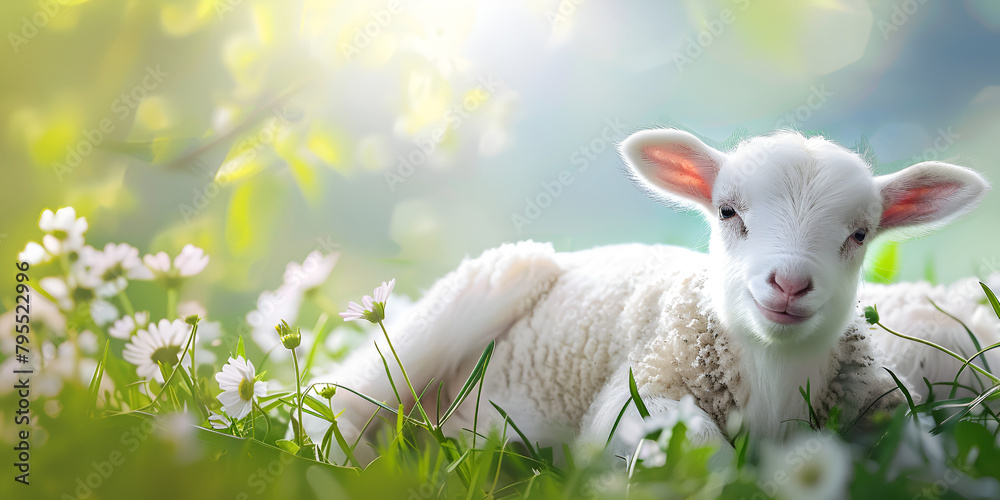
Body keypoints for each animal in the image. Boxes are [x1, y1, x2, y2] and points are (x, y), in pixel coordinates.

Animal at [314, 128, 990, 461]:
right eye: (728, 212)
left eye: (859, 234)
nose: (790, 283)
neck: (771, 371)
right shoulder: (638, 395)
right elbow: (699, 450)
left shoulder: (881, 407)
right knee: (340, 405)